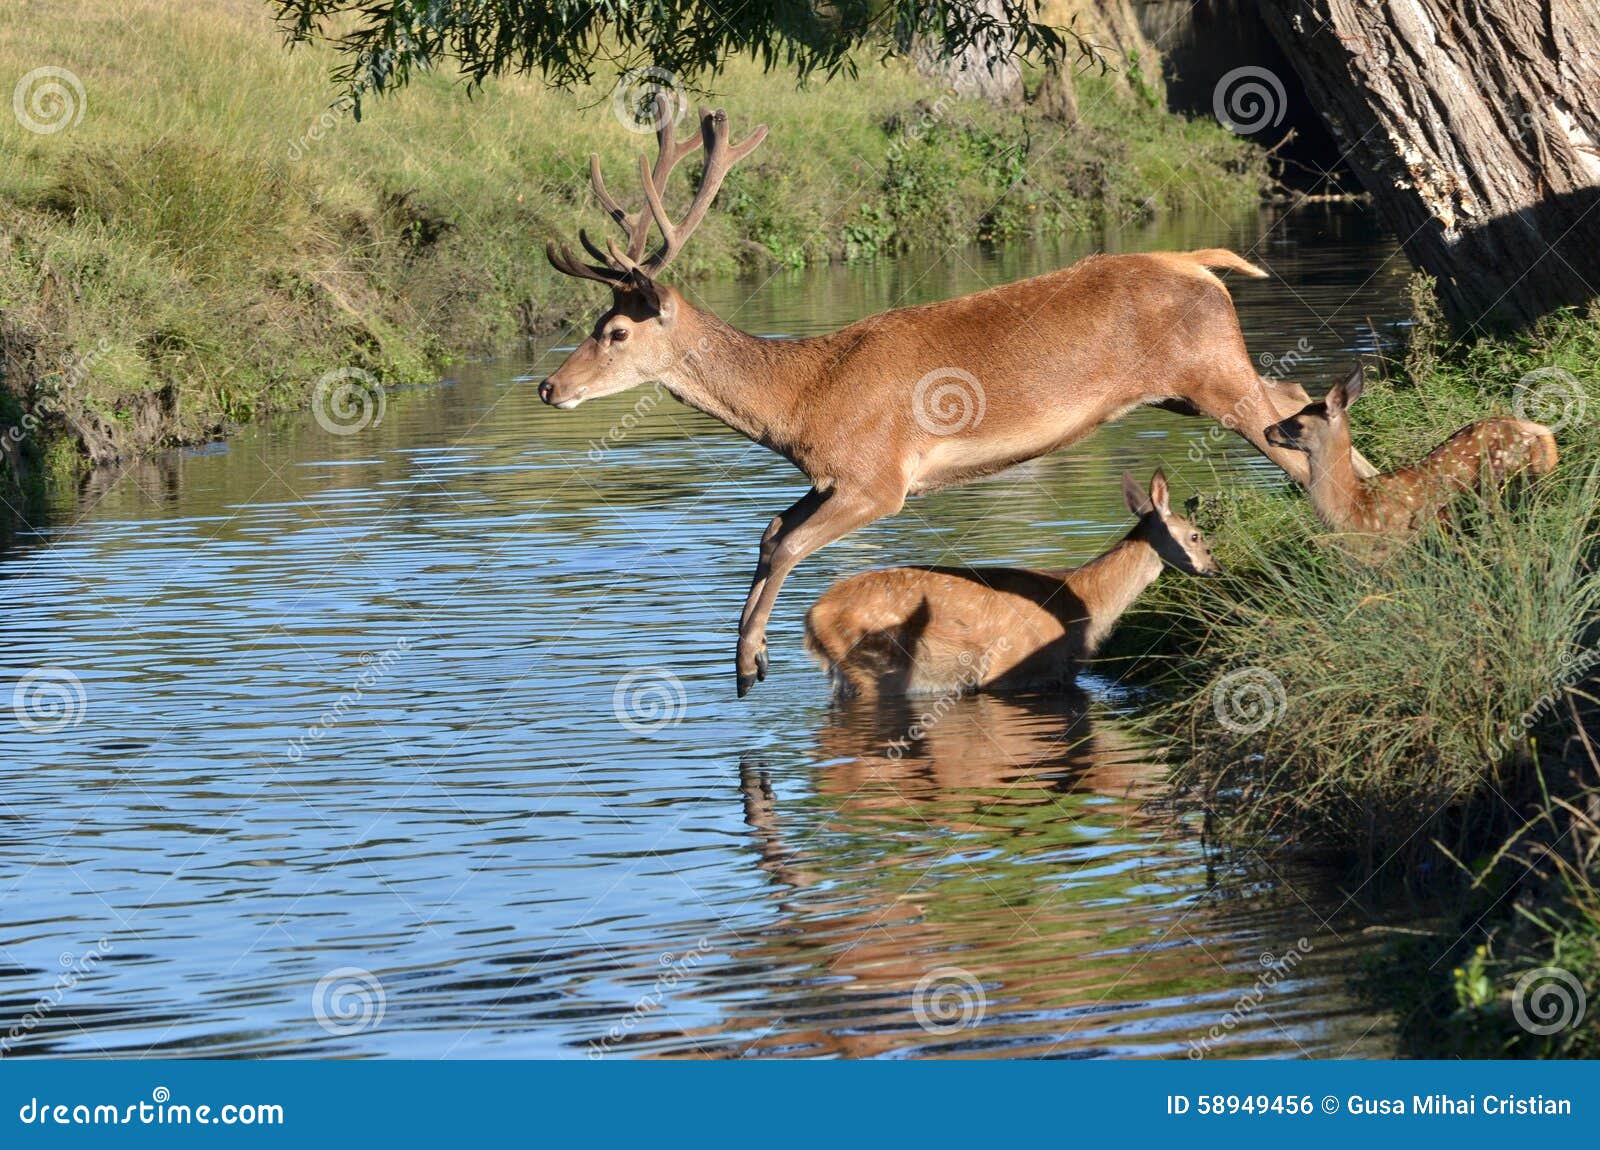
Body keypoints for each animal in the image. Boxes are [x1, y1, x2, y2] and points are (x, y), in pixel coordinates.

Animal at [803, 470, 1219, 697]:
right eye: (1196, 535)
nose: (1214, 566)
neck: (1087, 602)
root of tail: (812, 618)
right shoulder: (1010, 669)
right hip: (874, 664)